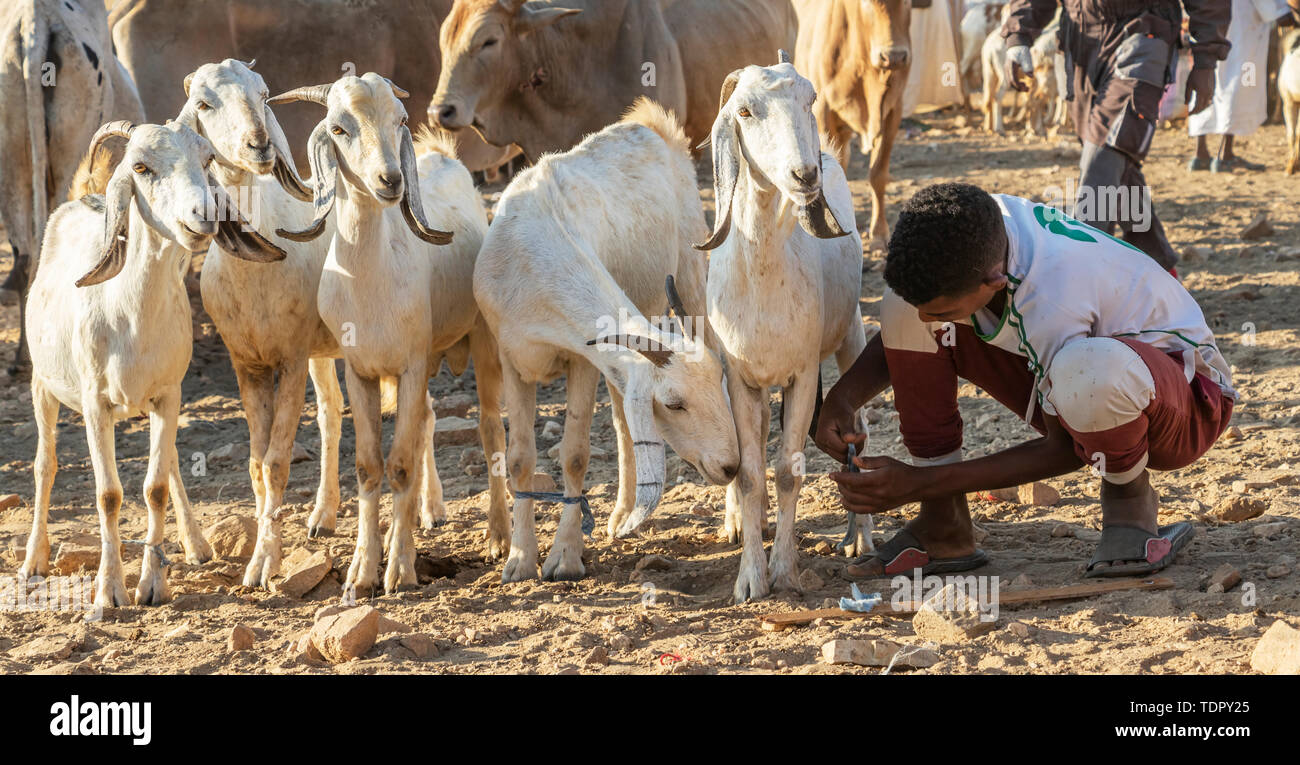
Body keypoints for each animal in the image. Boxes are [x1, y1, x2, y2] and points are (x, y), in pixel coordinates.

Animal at [21, 120, 284, 607]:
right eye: (141, 167)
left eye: (206, 159)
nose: (204, 215)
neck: (129, 317)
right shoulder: (96, 404)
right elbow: (108, 494)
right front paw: (109, 591)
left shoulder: (167, 396)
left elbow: (155, 487)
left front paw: (153, 586)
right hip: (42, 387)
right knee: (44, 465)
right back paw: (33, 560)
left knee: (173, 463)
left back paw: (197, 546)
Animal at [267, 73, 505, 595]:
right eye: (339, 127)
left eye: (398, 120)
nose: (390, 181)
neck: (370, 282)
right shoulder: (362, 372)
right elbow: (371, 466)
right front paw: (360, 574)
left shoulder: (412, 365)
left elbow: (399, 465)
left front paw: (399, 572)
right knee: (427, 425)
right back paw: (425, 516)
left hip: (482, 346)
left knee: (490, 429)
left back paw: (499, 538)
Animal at [473, 98, 740, 583]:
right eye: (673, 404)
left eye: (719, 386)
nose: (729, 465)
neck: (533, 251)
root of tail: (652, 126)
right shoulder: (513, 356)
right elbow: (520, 457)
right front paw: (519, 559)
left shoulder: (582, 358)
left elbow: (575, 455)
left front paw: (564, 556)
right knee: (620, 421)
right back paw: (620, 515)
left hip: (692, 275)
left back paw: (734, 521)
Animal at [696, 52, 871, 603]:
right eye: (745, 111)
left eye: (810, 100)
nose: (804, 173)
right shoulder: (742, 379)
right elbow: (750, 473)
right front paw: (750, 579)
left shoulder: (801, 375)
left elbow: (789, 470)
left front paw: (785, 572)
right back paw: (736, 524)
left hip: (850, 336)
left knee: (859, 433)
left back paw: (859, 539)